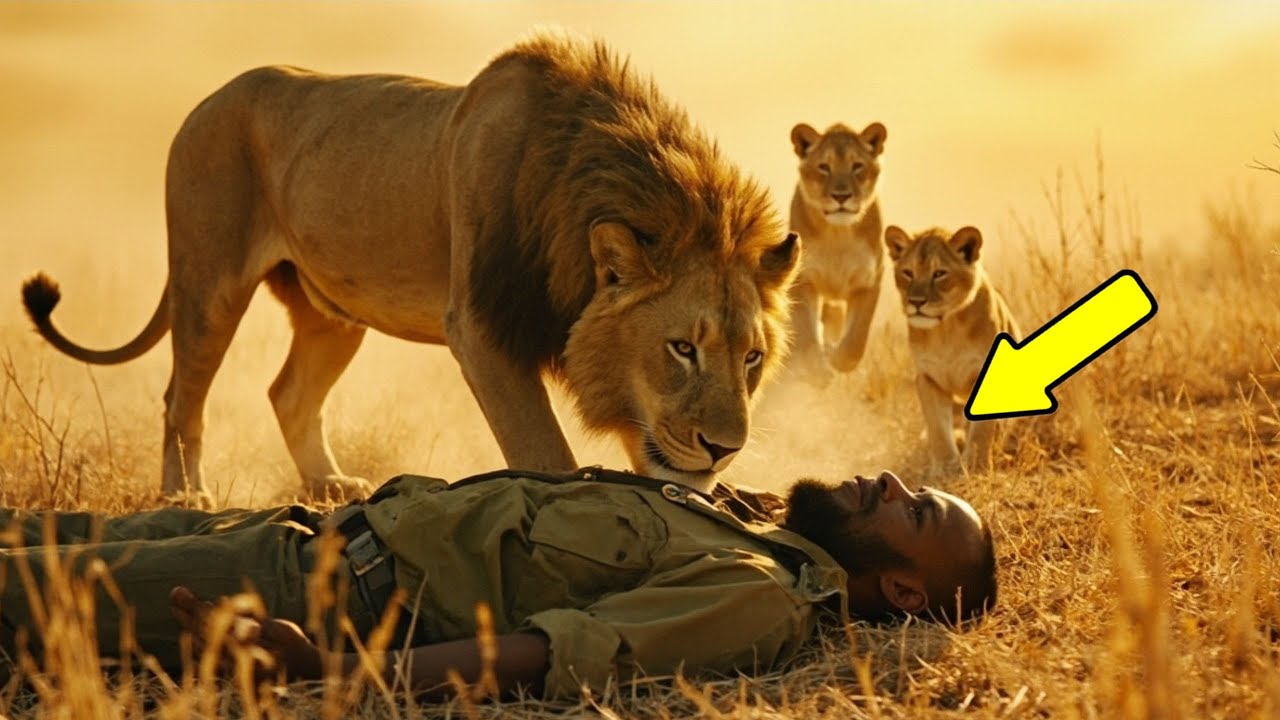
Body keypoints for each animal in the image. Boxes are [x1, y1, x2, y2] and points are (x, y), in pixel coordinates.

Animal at [20, 34, 800, 504]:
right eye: (682, 347)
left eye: (753, 357)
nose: (725, 448)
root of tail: (204, 102)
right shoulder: (480, 329)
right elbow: (544, 450)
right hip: (208, 282)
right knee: (182, 398)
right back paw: (186, 494)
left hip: (333, 314)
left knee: (287, 394)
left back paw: (330, 487)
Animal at [786, 121, 887, 386]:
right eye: (824, 167)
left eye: (857, 166)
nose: (841, 196)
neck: (838, 235)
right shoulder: (804, 280)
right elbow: (807, 333)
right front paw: (818, 371)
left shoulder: (868, 281)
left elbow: (856, 339)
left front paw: (837, 360)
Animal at [884, 225, 1020, 477]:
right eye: (908, 272)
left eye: (939, 273)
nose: (916, 301)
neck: (947, 330)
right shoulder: (928, 378)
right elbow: (938, 427)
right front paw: (946, 468)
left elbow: (983, 430)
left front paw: (976, 466)